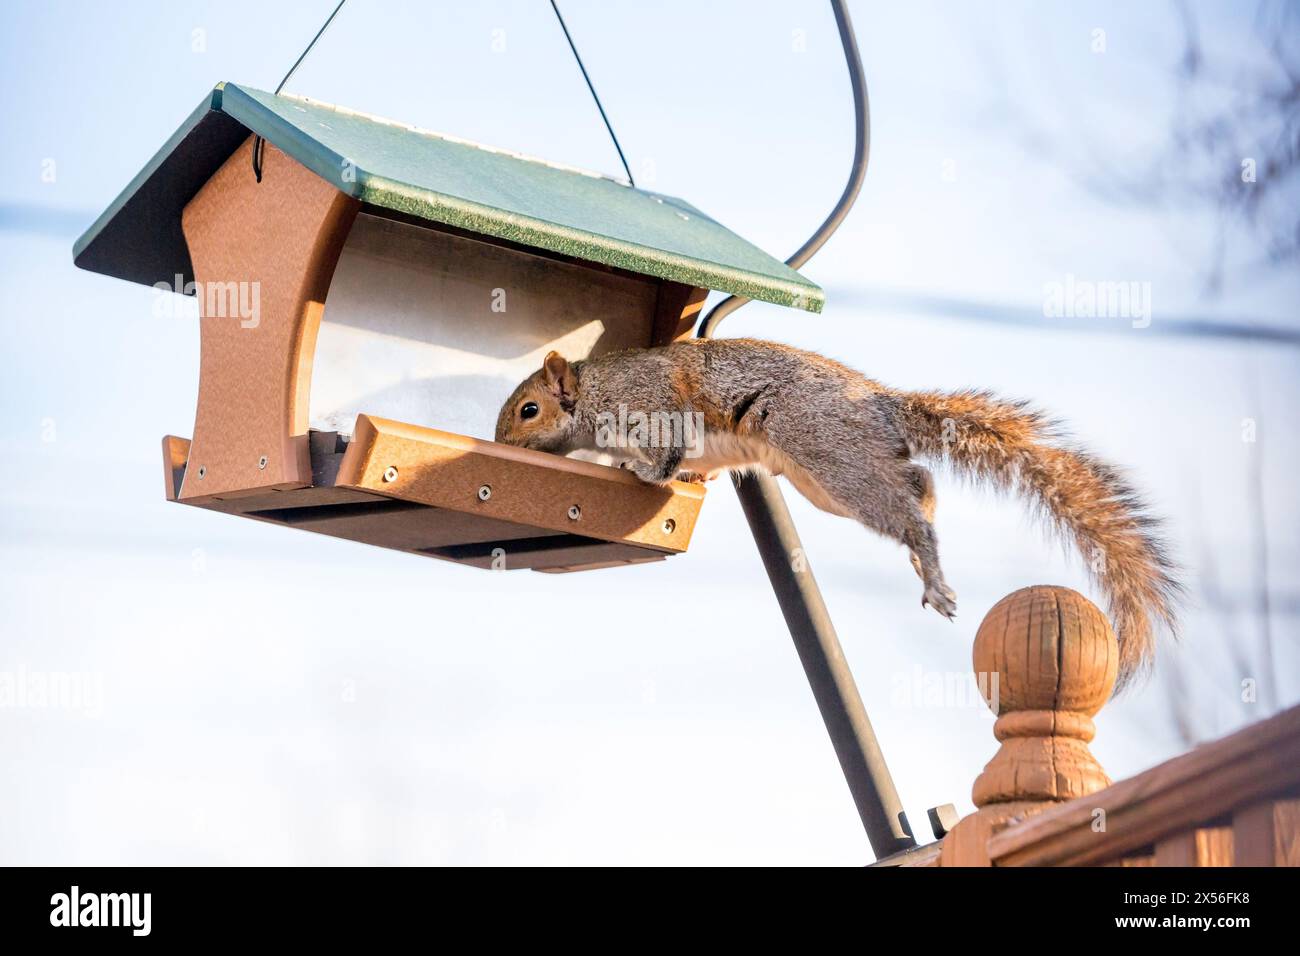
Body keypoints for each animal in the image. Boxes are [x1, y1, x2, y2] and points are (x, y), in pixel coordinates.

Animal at [495, 337, 1181, 687]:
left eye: (528, 410)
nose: (499, 443)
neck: (596, 392)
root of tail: (881, 402)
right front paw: (688, 476)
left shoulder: (654, 405)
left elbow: (664, 455)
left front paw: (641, 472)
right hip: (828, 479)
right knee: (918, 480)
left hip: (828, 457)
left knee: (909, 511)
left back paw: (931, 571)